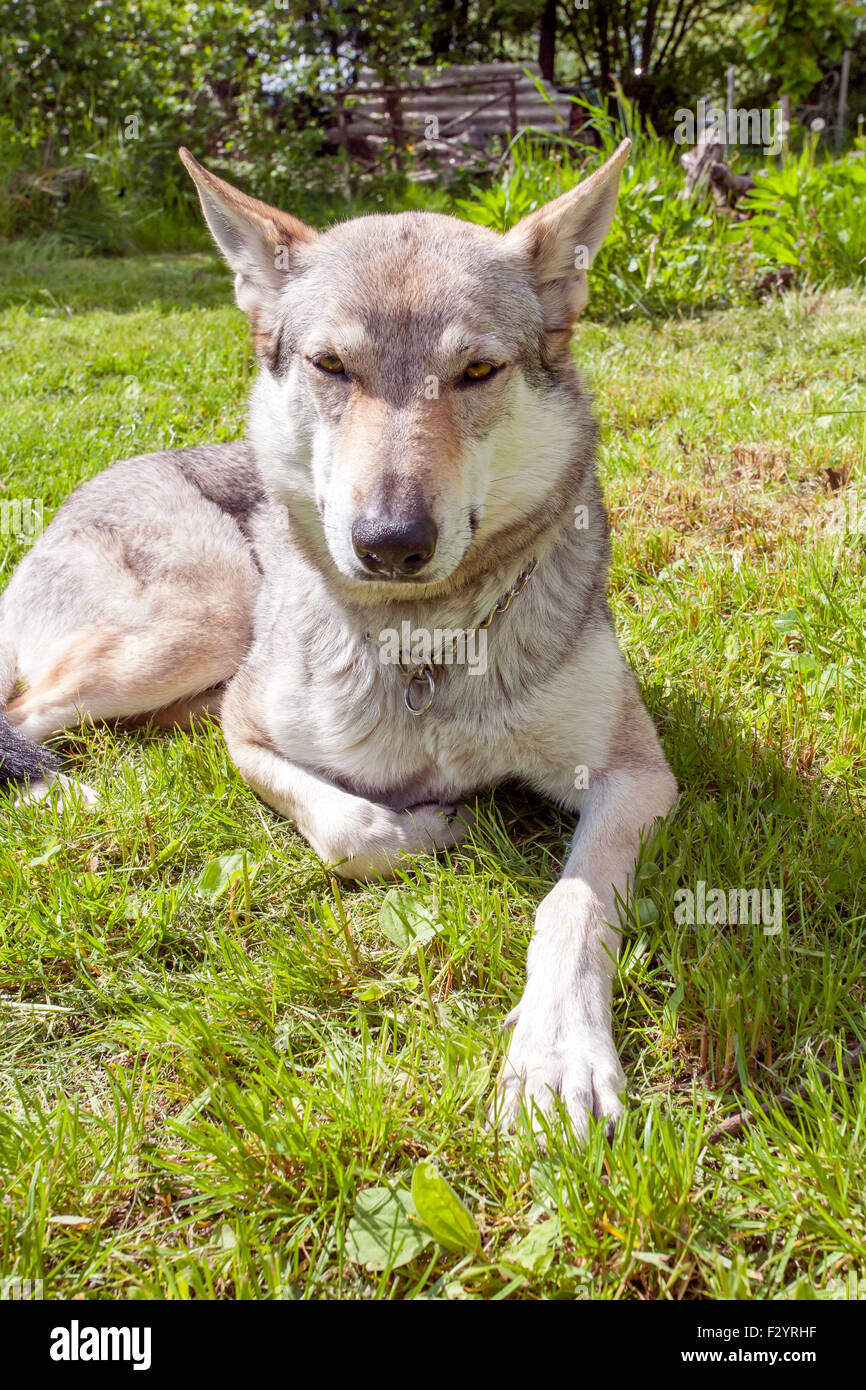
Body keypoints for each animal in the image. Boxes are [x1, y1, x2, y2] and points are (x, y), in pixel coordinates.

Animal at [0, 139, 677, 1139]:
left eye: (477, 372)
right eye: (331, 366)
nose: (390, 542)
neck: (425, 648)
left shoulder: (637, 776)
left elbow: (572, 902)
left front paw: (558, 1053)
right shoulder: (246, 734)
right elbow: (355, 832)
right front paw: (434, 824)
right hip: (196, 628)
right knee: (23, 716)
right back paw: (67, 792)